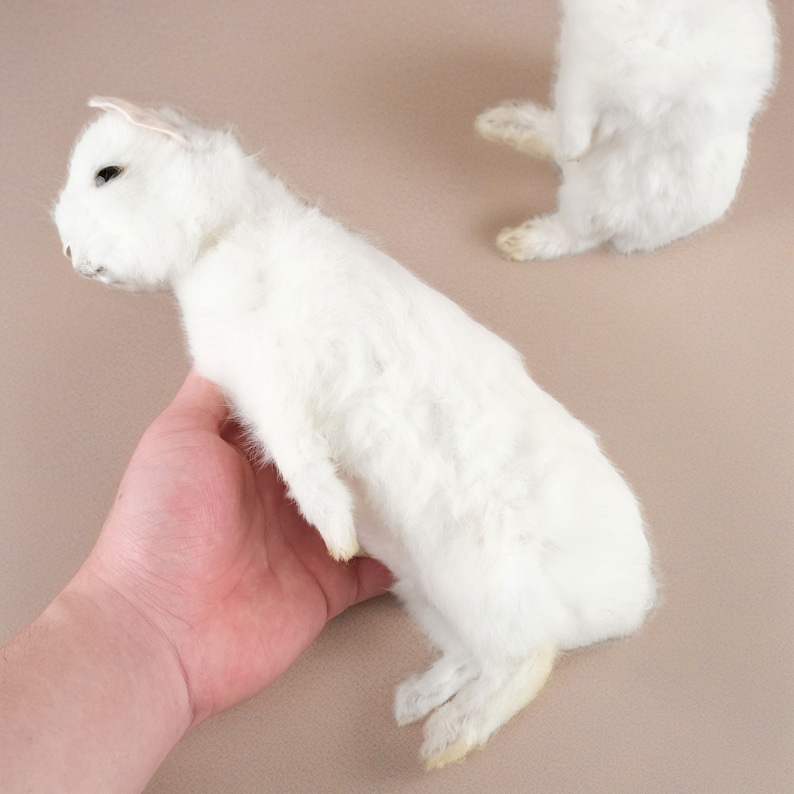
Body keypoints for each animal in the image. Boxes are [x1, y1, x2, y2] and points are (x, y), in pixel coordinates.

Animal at [53, 98, 656, 769]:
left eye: (108, 173)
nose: (70, 254)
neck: (225, 233)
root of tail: (626, 604)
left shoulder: (274, 386)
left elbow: (301, 459)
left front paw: (336, 535)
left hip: (480, 587)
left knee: (526, 664)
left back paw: (445, 742)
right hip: (426, 595)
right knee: (472, 658)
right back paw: (416, 704)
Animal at [476, 0, 777, 261]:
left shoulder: (609, 76)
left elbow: (578, 113)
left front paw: (575, 148)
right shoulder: (585, 57)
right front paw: (574, 149)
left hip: (588, 206)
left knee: (578, 236)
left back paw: (517, 241)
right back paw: (500, 122)